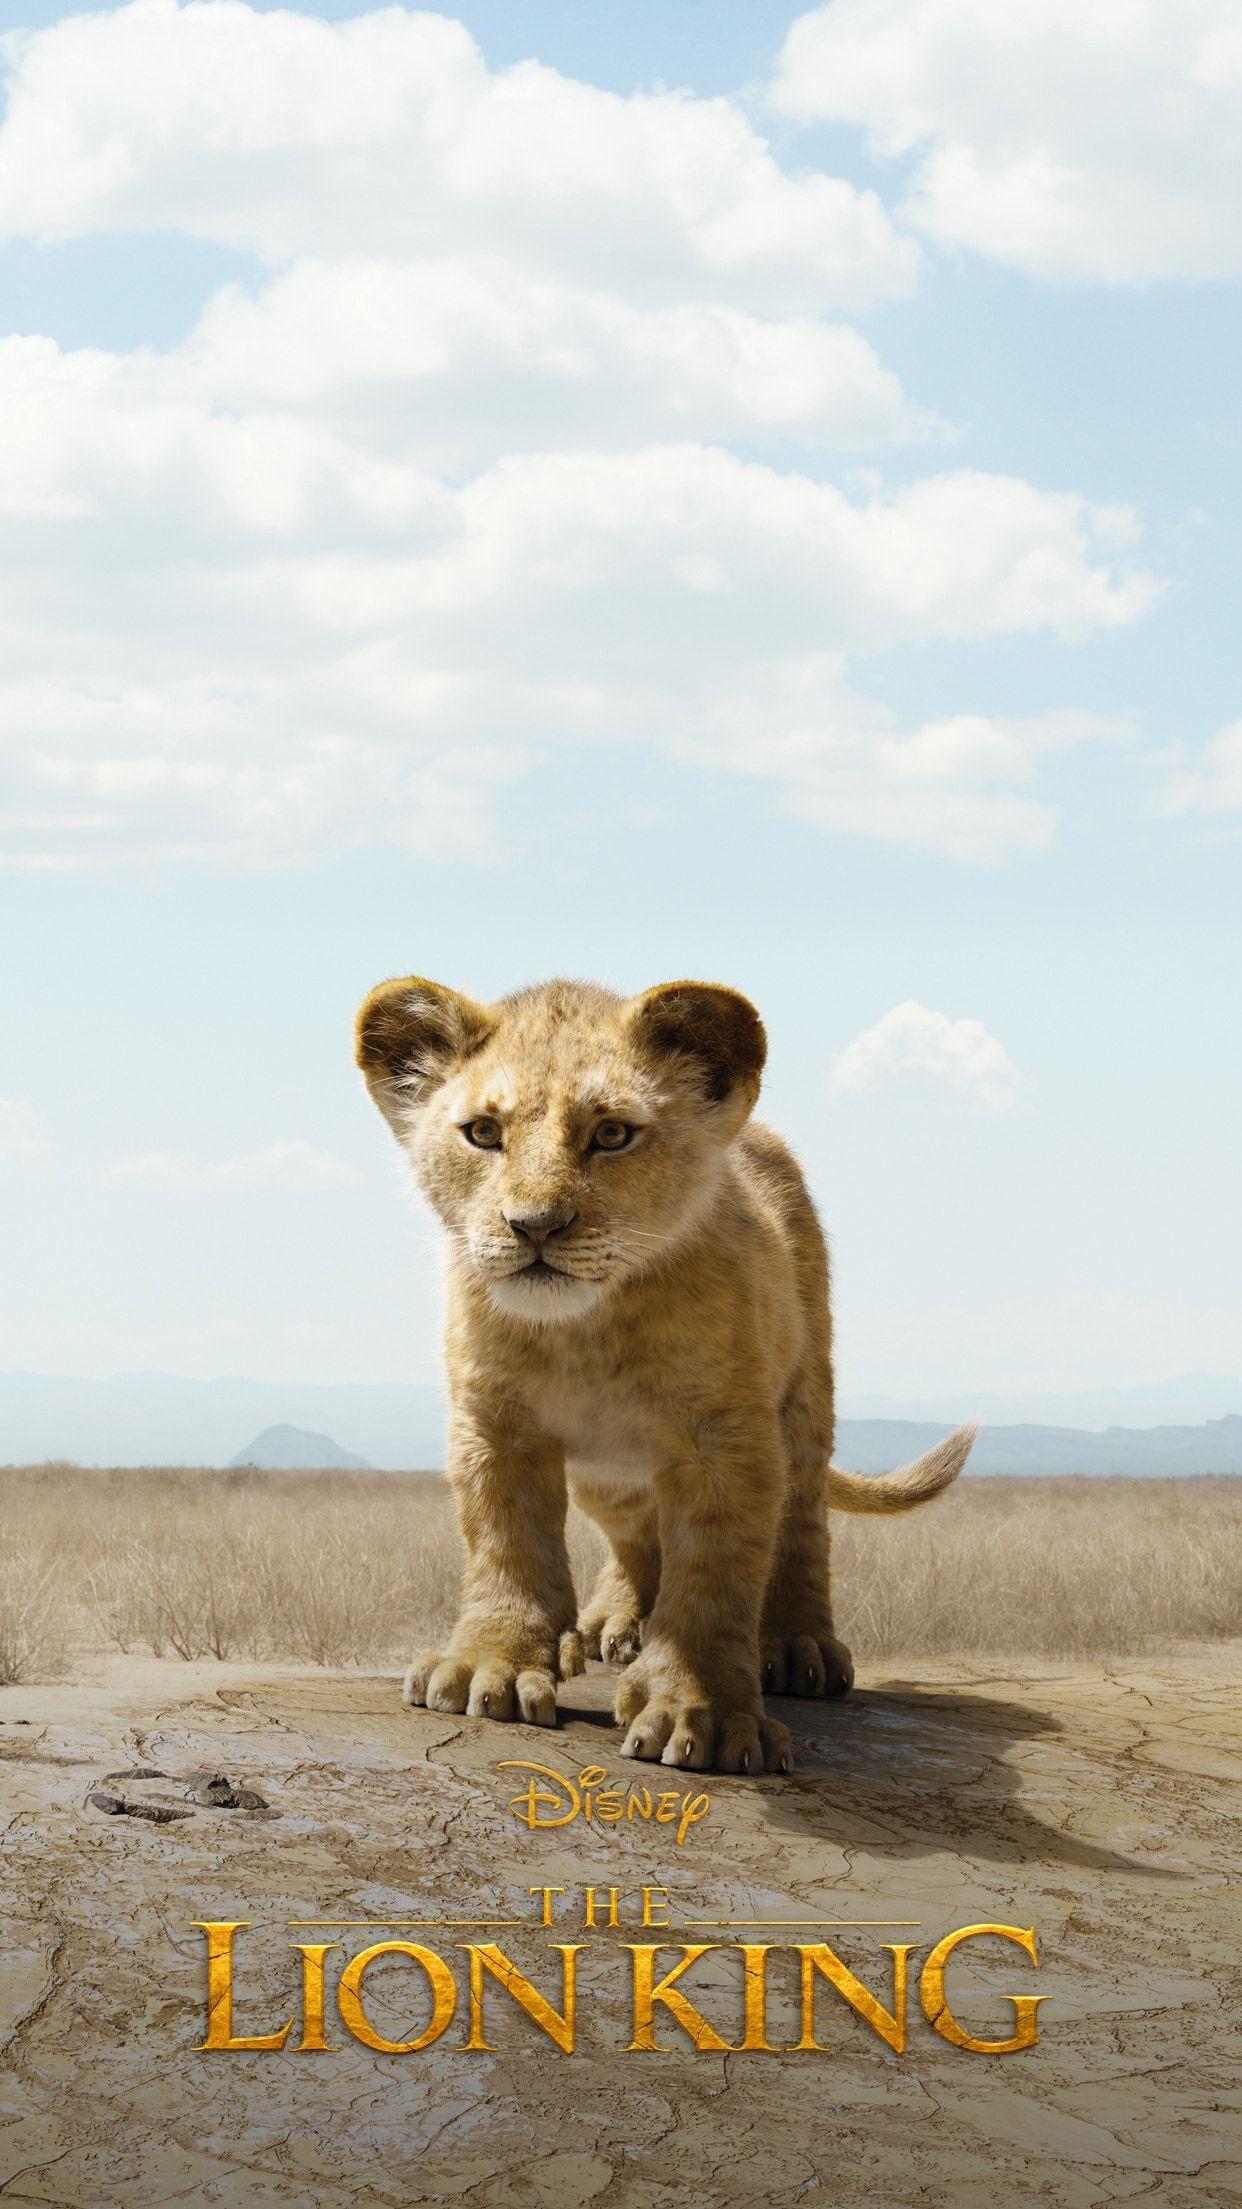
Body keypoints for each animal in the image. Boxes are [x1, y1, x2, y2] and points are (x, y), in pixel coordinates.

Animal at [356, 974, 975, 1775]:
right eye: (483, 1133)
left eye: (612, 1134)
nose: (534, 1226)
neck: (584, 1330)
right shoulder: (494, 1422)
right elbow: (507, 1543)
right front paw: (491, 1663)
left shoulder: (722, 1436)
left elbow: (714, 1571)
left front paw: (701, 1710)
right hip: (606, 1475)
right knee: (636, 1533)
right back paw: (608, 1624)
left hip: (804, 1403)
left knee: (800, 1525)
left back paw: (797, 1647)